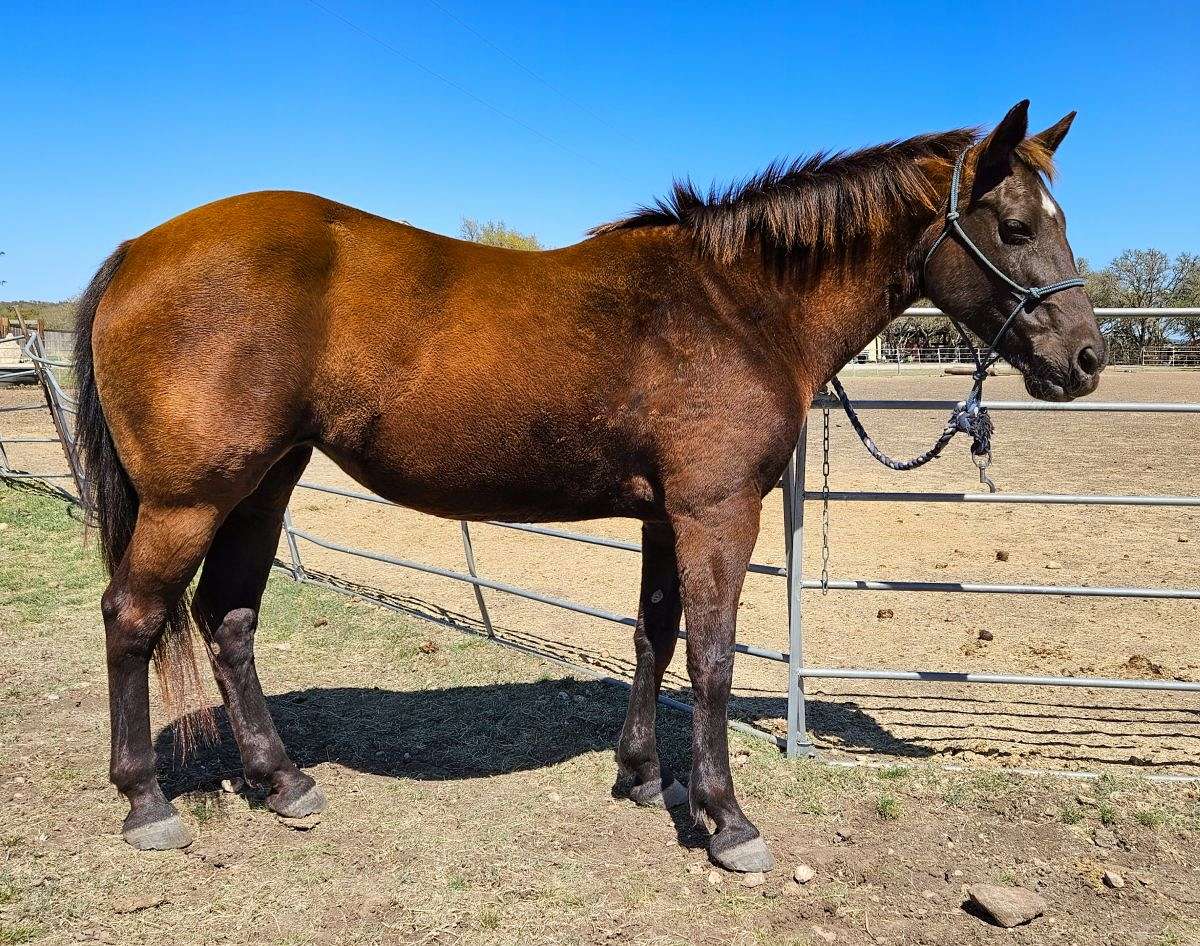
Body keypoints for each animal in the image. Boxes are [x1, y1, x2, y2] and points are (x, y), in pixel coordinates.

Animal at [74, 100, 1103, 872]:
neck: (735, 306)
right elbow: (713, 658)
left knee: (229, 619)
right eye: (1016, 227)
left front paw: (646, 775)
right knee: (134, 615)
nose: (1086, 360)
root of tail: (138, 249)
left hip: (263, 485)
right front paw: (728, 821)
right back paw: (147, 802)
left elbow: (654, 634)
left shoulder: (663, 515)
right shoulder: (717, 512)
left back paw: (282, 782)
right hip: (191, 500)